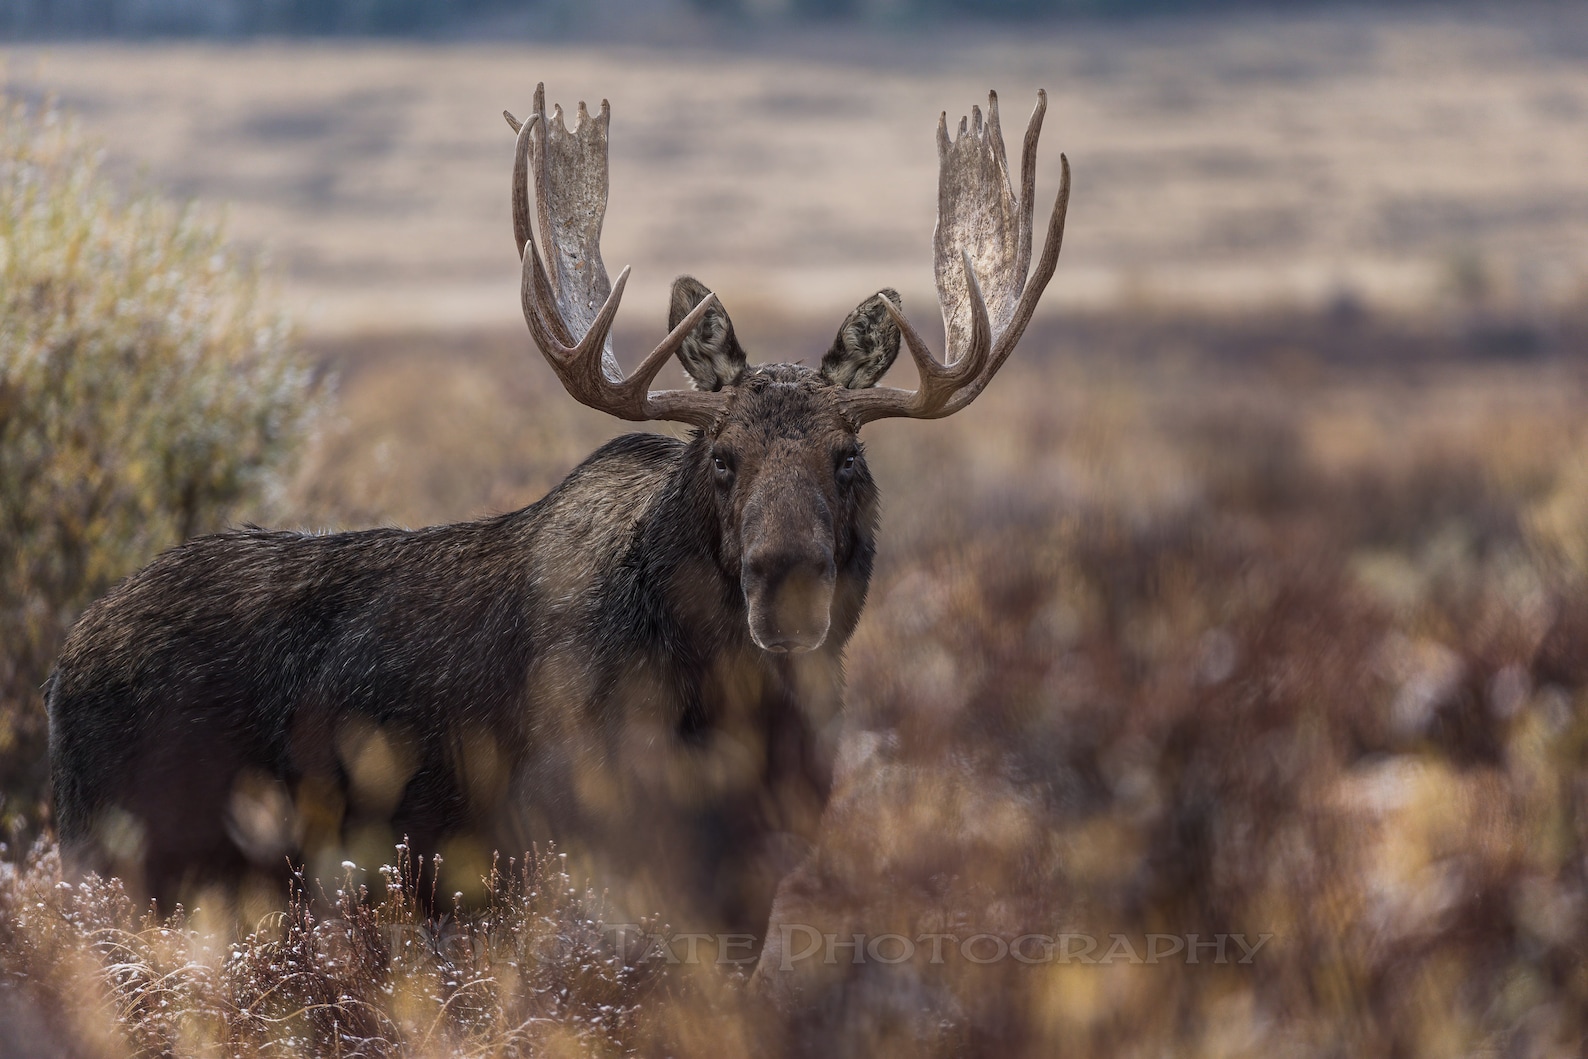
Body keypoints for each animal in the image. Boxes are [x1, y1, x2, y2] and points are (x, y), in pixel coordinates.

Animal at [47, 83, 1069, 937]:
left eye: (847, 457)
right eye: (723, 458)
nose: (786, 586)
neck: (734, 711)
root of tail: (61, 666)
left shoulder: (755, 880)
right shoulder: (563, 852)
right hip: (136, 863)